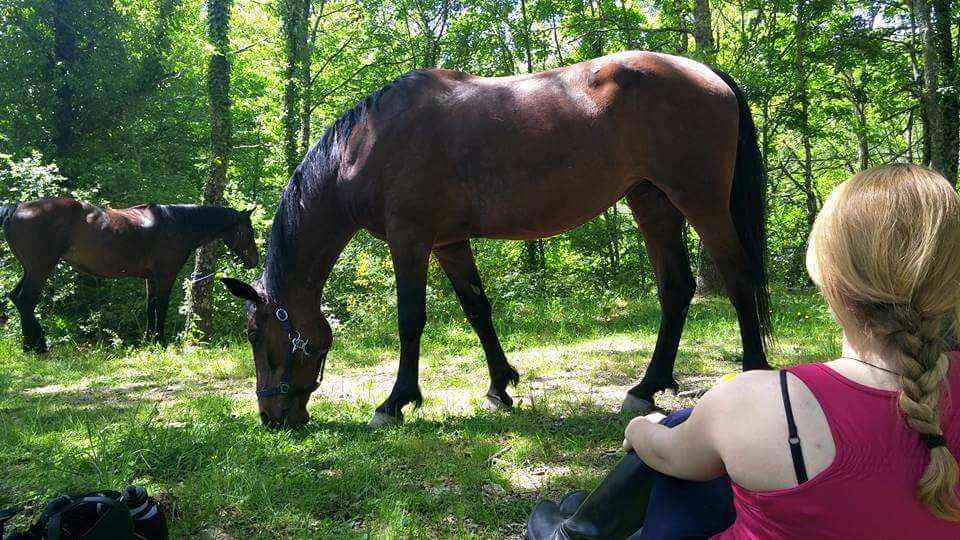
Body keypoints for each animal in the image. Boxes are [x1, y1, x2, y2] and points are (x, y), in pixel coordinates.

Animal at [0, 197, 259, 351]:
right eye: (249, 231)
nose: (254, 261)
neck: (176, 224)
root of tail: (16, 208)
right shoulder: (165, 277)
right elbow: (161, 307)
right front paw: (160, 341)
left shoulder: (151, 279)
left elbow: (150, 308)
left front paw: (149, 340)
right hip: (39, 269)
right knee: (25, 300)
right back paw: (38, 346)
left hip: (30, 269)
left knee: (17, 299)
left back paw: (29, 345)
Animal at [222, 50, 773, 429]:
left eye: (254, 335)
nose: (273, 418)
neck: (367, 146)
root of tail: (709, 74)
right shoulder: (449, 243)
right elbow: (478, 310)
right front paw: (500, 387)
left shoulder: (409, 239)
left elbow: (410, 320)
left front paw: (395, 402)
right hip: (652, 202)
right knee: (676, 290)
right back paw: (646, 387)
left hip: (701, 203)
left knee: (738, 279)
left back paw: (751, 374)